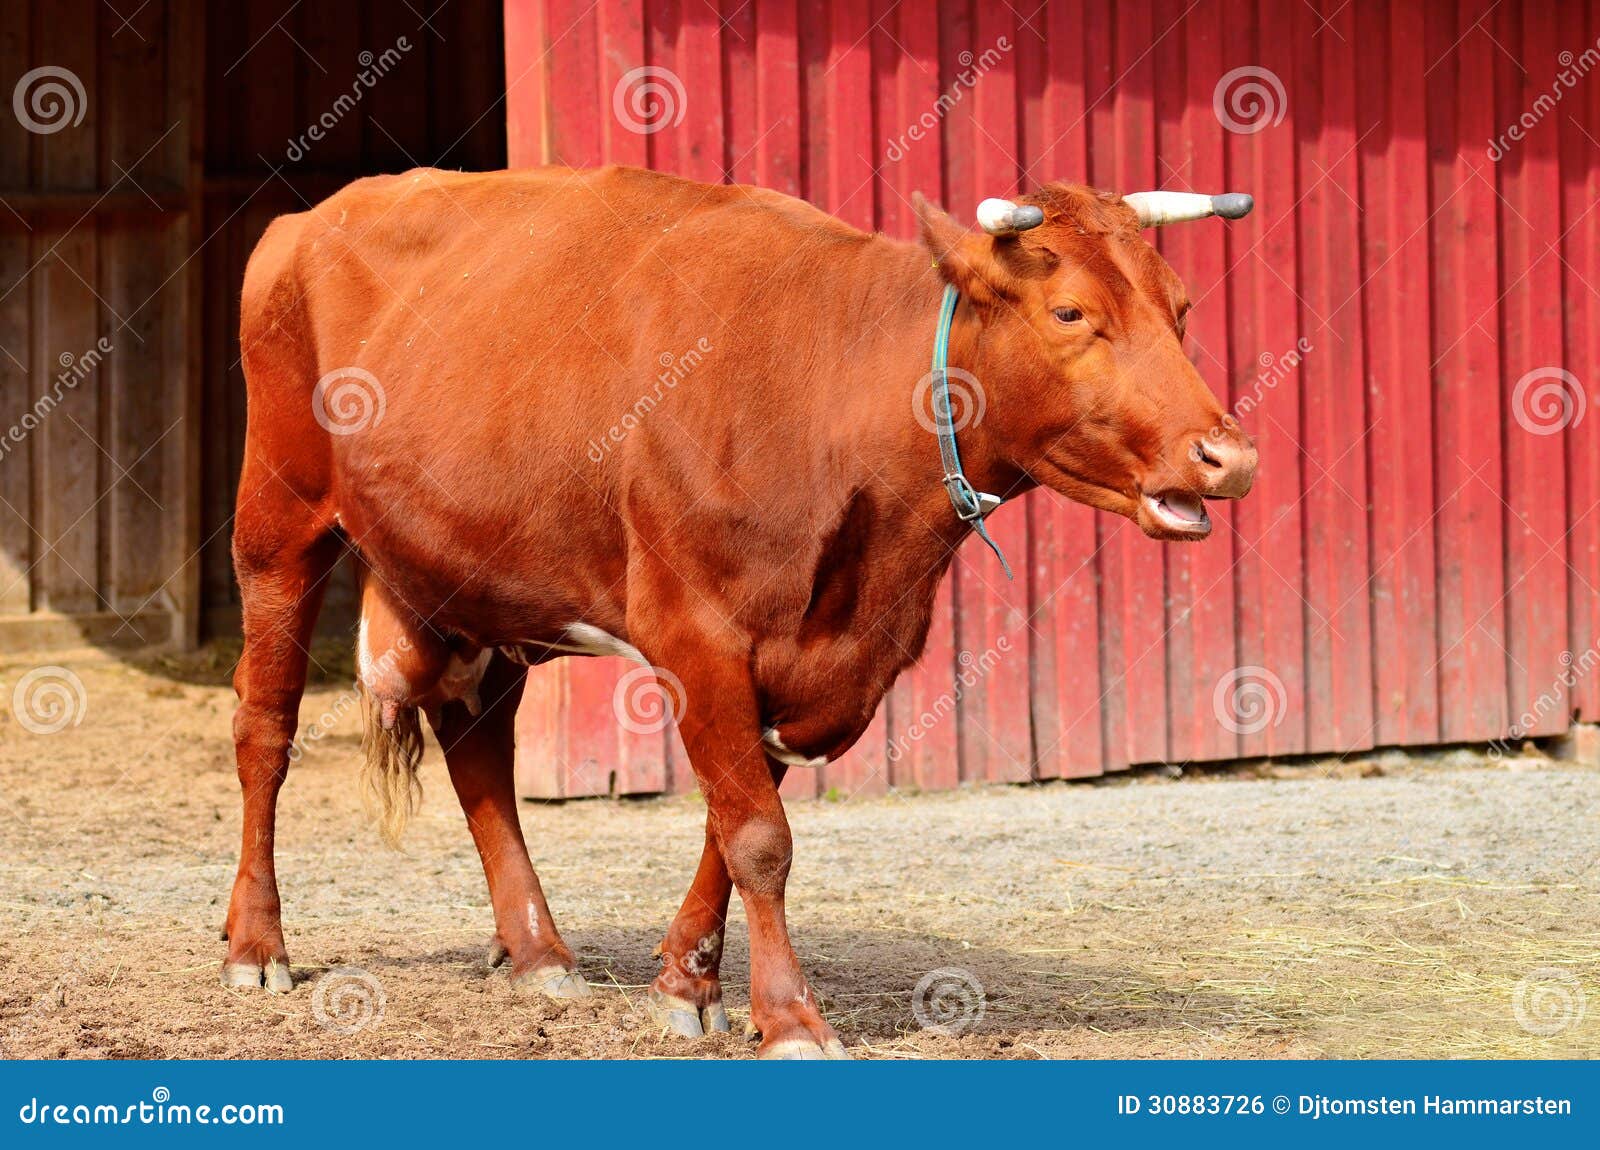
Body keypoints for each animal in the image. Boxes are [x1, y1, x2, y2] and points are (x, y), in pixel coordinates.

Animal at [222, 165, 1257, 1058]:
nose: (1229, 456)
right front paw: (792, 1018)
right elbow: (759, 836)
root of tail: (308, 220)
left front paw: (687, 985)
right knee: (265, 730)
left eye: (1181, 309)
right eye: (1070, 311)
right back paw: (257, 944)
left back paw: (539, 952)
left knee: (480, 749)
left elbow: (731, 823)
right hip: (277, 523)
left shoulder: (814, 665)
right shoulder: (695, 632)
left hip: (483, 572)